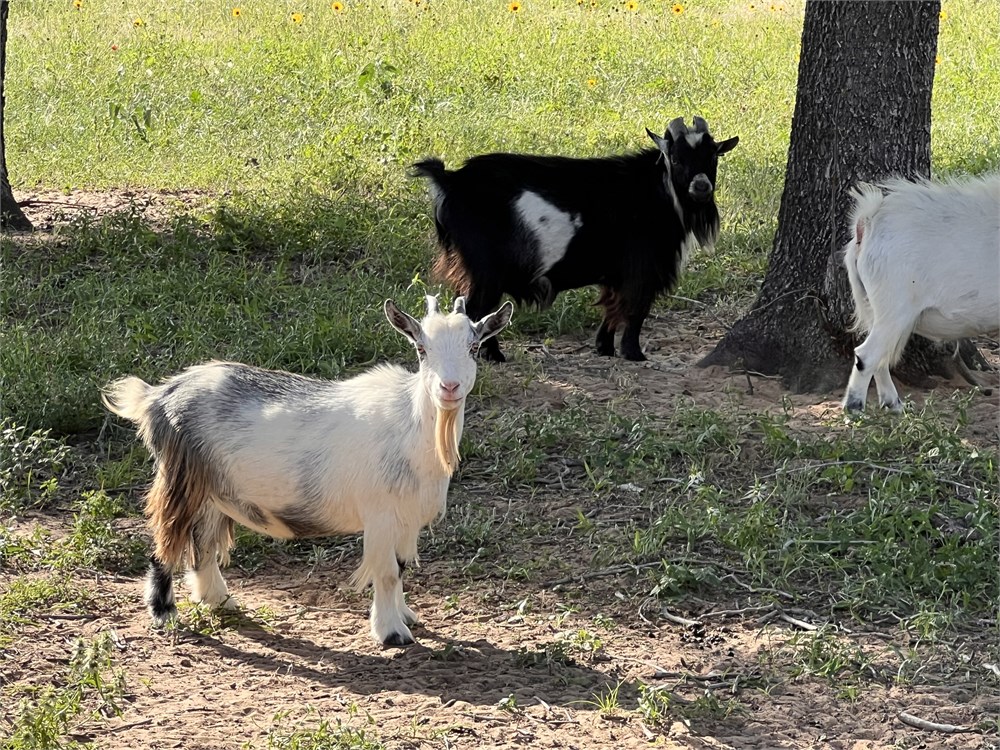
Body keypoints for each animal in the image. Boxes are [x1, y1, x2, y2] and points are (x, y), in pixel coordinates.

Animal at [101, 296, 513, 646]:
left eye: (473, 347)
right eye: (421, 349)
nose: (449, 387)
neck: (414, 425)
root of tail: (158, 396)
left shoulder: (406, 517)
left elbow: (399, 569)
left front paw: (406, 616)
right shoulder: (381, 514)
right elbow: (385, 572)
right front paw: (391, 633)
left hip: (215, 490)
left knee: (203, 543)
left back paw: (219, 600)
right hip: (180, 477)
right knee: (166, 538)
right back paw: (164, 612)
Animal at [412, 117, 739, 362]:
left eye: (713, 157)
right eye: (676, 158)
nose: (701, 187)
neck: (658, 190)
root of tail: (451, 180)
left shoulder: (615, 274)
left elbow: (611, 307)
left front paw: (605, 349)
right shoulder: (642, 268)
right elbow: (635, 309)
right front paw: (634, 354)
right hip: (486, 270)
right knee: (479, 309)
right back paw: (493, 356)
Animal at [842, 172, 1000, 412]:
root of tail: (868, 220)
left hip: (875, 308)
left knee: (879, 357)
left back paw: (894, 405)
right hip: (893, 308)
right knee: (867, 354)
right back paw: (855, 409)